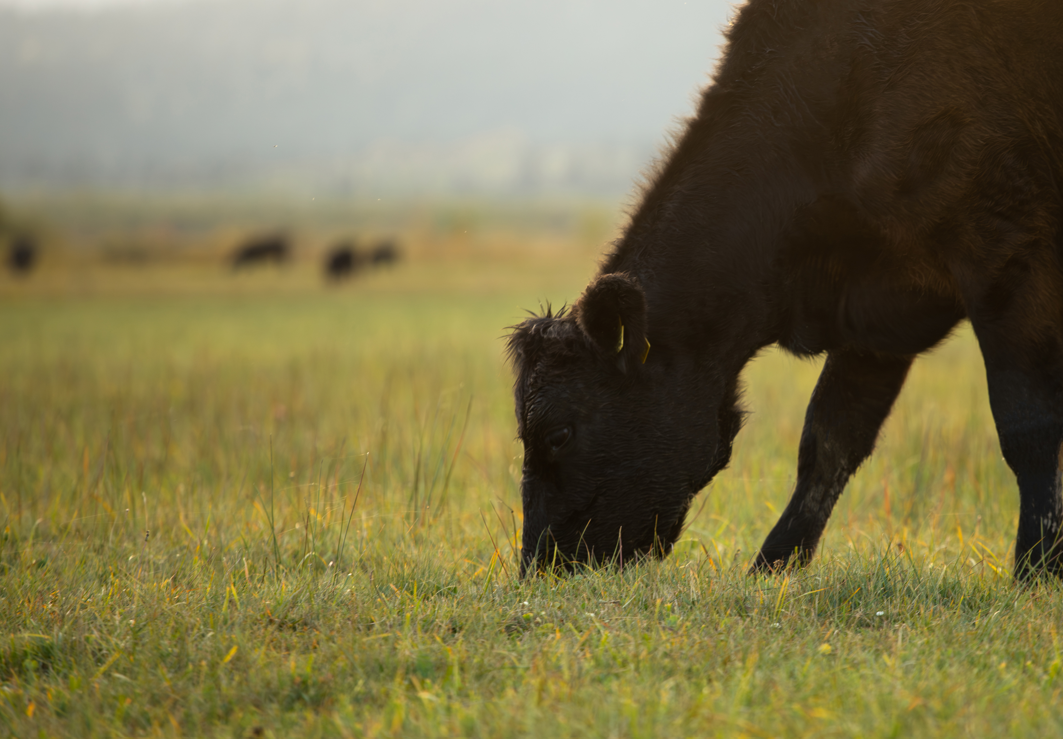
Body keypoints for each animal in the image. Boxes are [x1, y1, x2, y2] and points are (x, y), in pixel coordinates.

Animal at [507, 0, 1063, 582]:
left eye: (559, 434)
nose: (539, 566)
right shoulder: (880, 308)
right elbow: (831, 439)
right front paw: (774, 565)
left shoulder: (1007, 253)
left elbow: (1028, 425)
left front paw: (1037, 567)